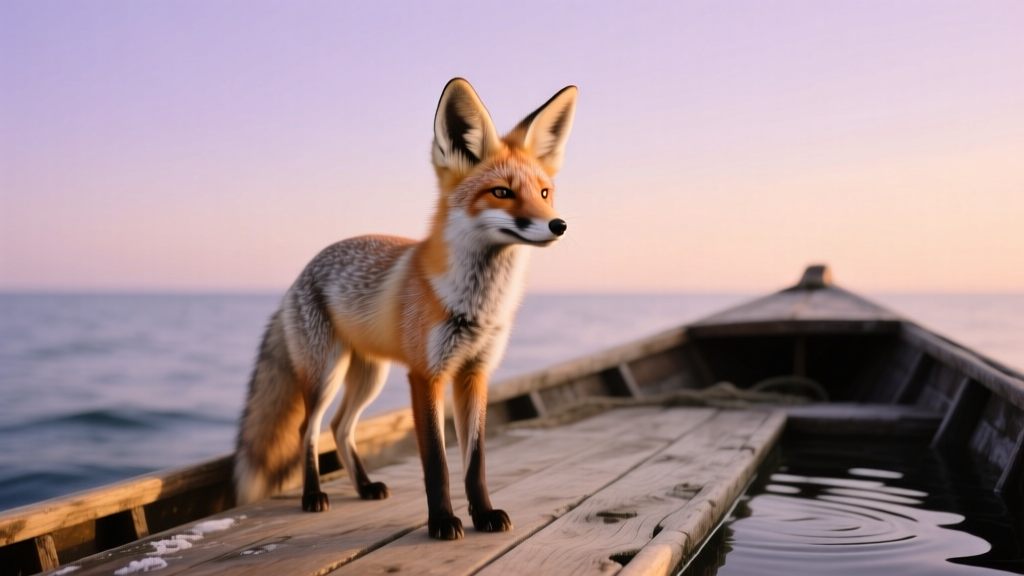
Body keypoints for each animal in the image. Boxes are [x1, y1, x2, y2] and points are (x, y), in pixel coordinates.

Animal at [233, 78, 577, 540]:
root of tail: (300, 274)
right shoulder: (425, 374)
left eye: (544, 193)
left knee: (341, 427)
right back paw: (312, 495)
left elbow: (475, 461)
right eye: (502, 193)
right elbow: (437, 462)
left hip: (369, 377)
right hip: (326, 374)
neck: (476, 303)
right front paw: (442, 521)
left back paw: (364, 487)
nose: (559, 225)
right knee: (310, 428)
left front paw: (484, 514)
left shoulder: (474, 373)